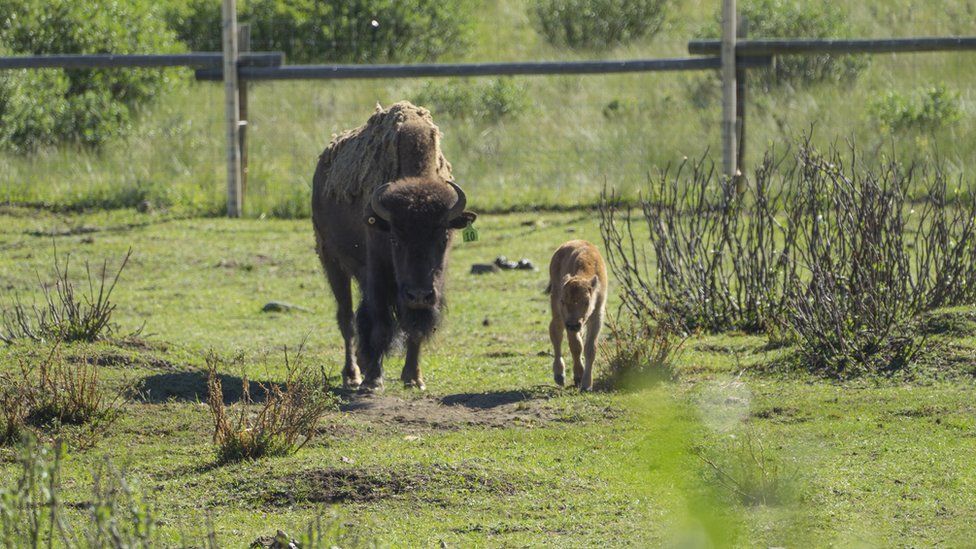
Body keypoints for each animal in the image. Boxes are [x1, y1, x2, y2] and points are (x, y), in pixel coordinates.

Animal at [312, 102, 476, 392]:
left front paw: (414, 377)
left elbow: (414, 330)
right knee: (347, 319)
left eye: (443, 237)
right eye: (395, 239)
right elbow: (379, 322)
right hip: (331, 260)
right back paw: (353, 375)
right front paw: (373, 380)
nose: (419, 295)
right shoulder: (377, 272)